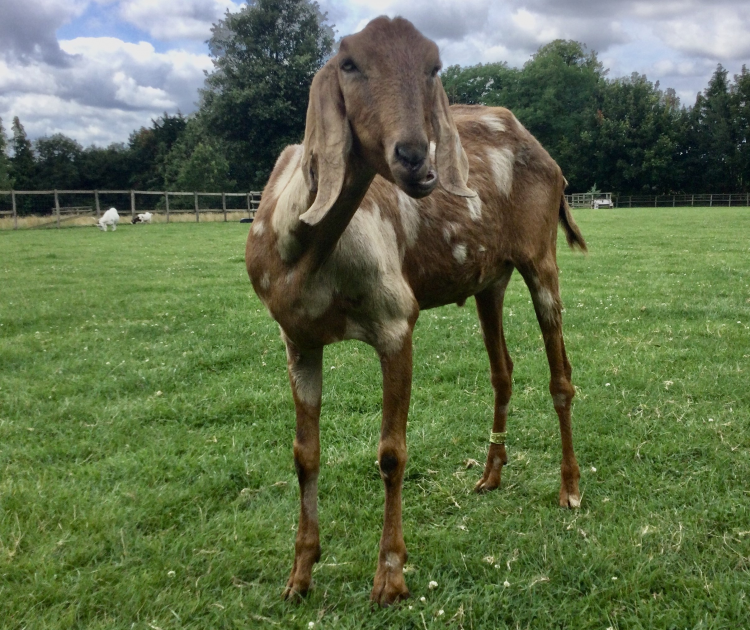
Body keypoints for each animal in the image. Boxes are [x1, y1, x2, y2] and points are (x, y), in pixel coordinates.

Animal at [246, 16, 587, 606]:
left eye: (433, 66)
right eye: (349, 63)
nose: (416, 160)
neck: (303, 259)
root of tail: (547, 156)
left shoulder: (394, 319)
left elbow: (391, 453)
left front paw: (389, 576)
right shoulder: (297, 338)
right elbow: (304, 453)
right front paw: (300, 575)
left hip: (540, 256)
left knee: (560, 375)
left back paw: (569, 488)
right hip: (489, 278)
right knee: (503, 370)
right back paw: (490, 475)